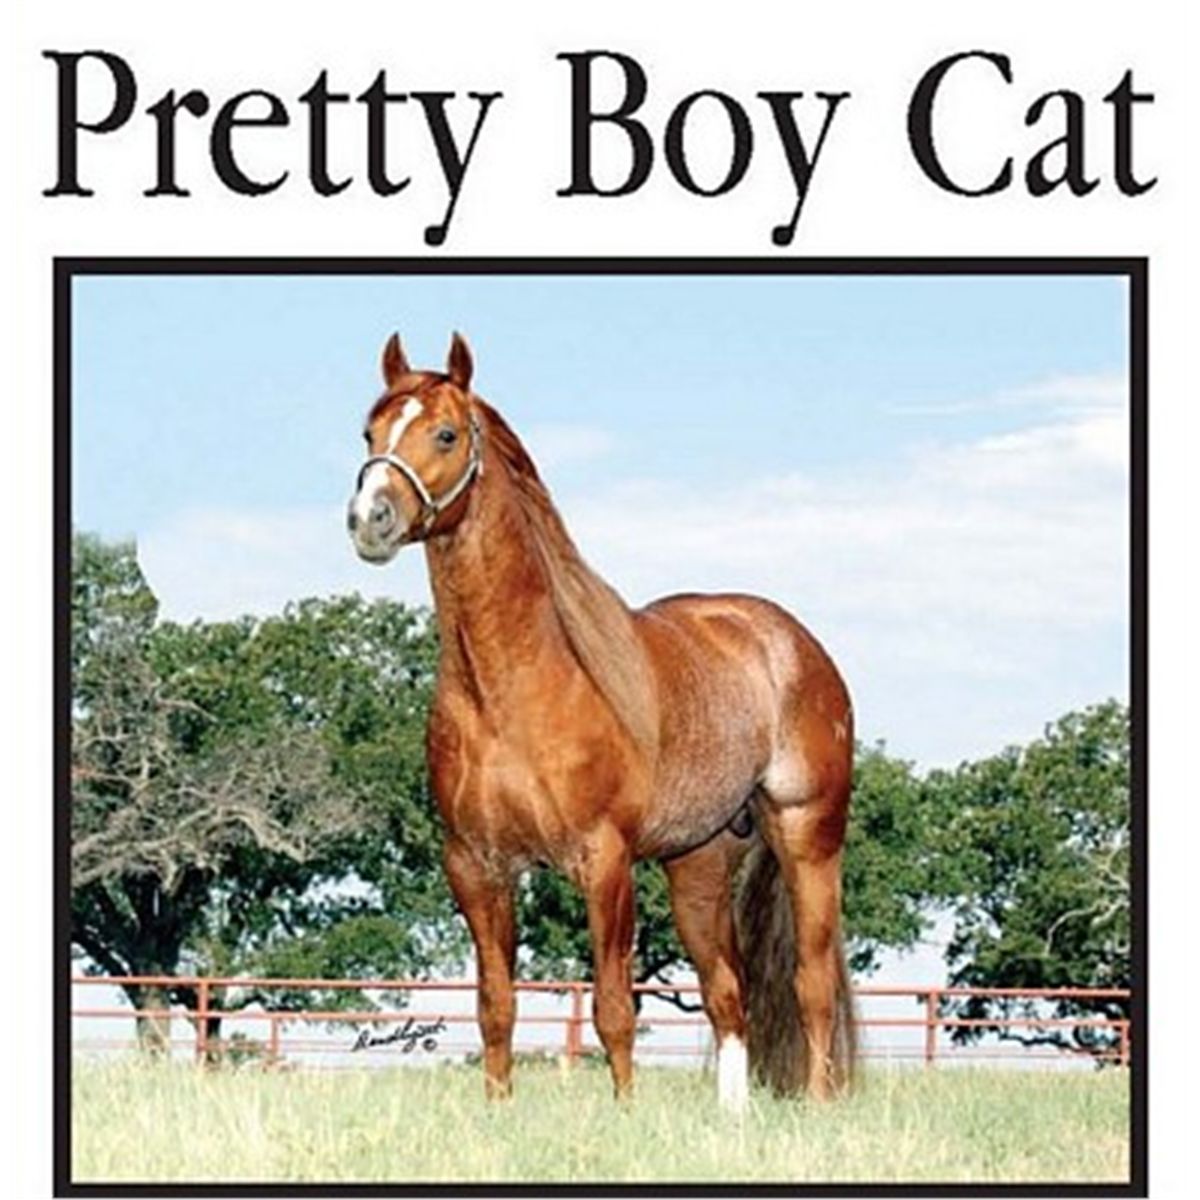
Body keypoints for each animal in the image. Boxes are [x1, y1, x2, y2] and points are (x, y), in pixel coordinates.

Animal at [347, 332, 856, 1111]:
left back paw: (821, 1103)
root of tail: (791, 643)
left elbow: (614, 1006)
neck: (513, 688)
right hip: (698, 865)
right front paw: (497, 1111)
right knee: (727, 994)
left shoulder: (604, 860)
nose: (369, 519)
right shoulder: (475, 865)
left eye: (446, 433)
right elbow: (495, 1005)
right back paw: (733, 1115)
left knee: (812, 984)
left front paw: (625, 1113)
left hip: (807, 839)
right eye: (369, 433)